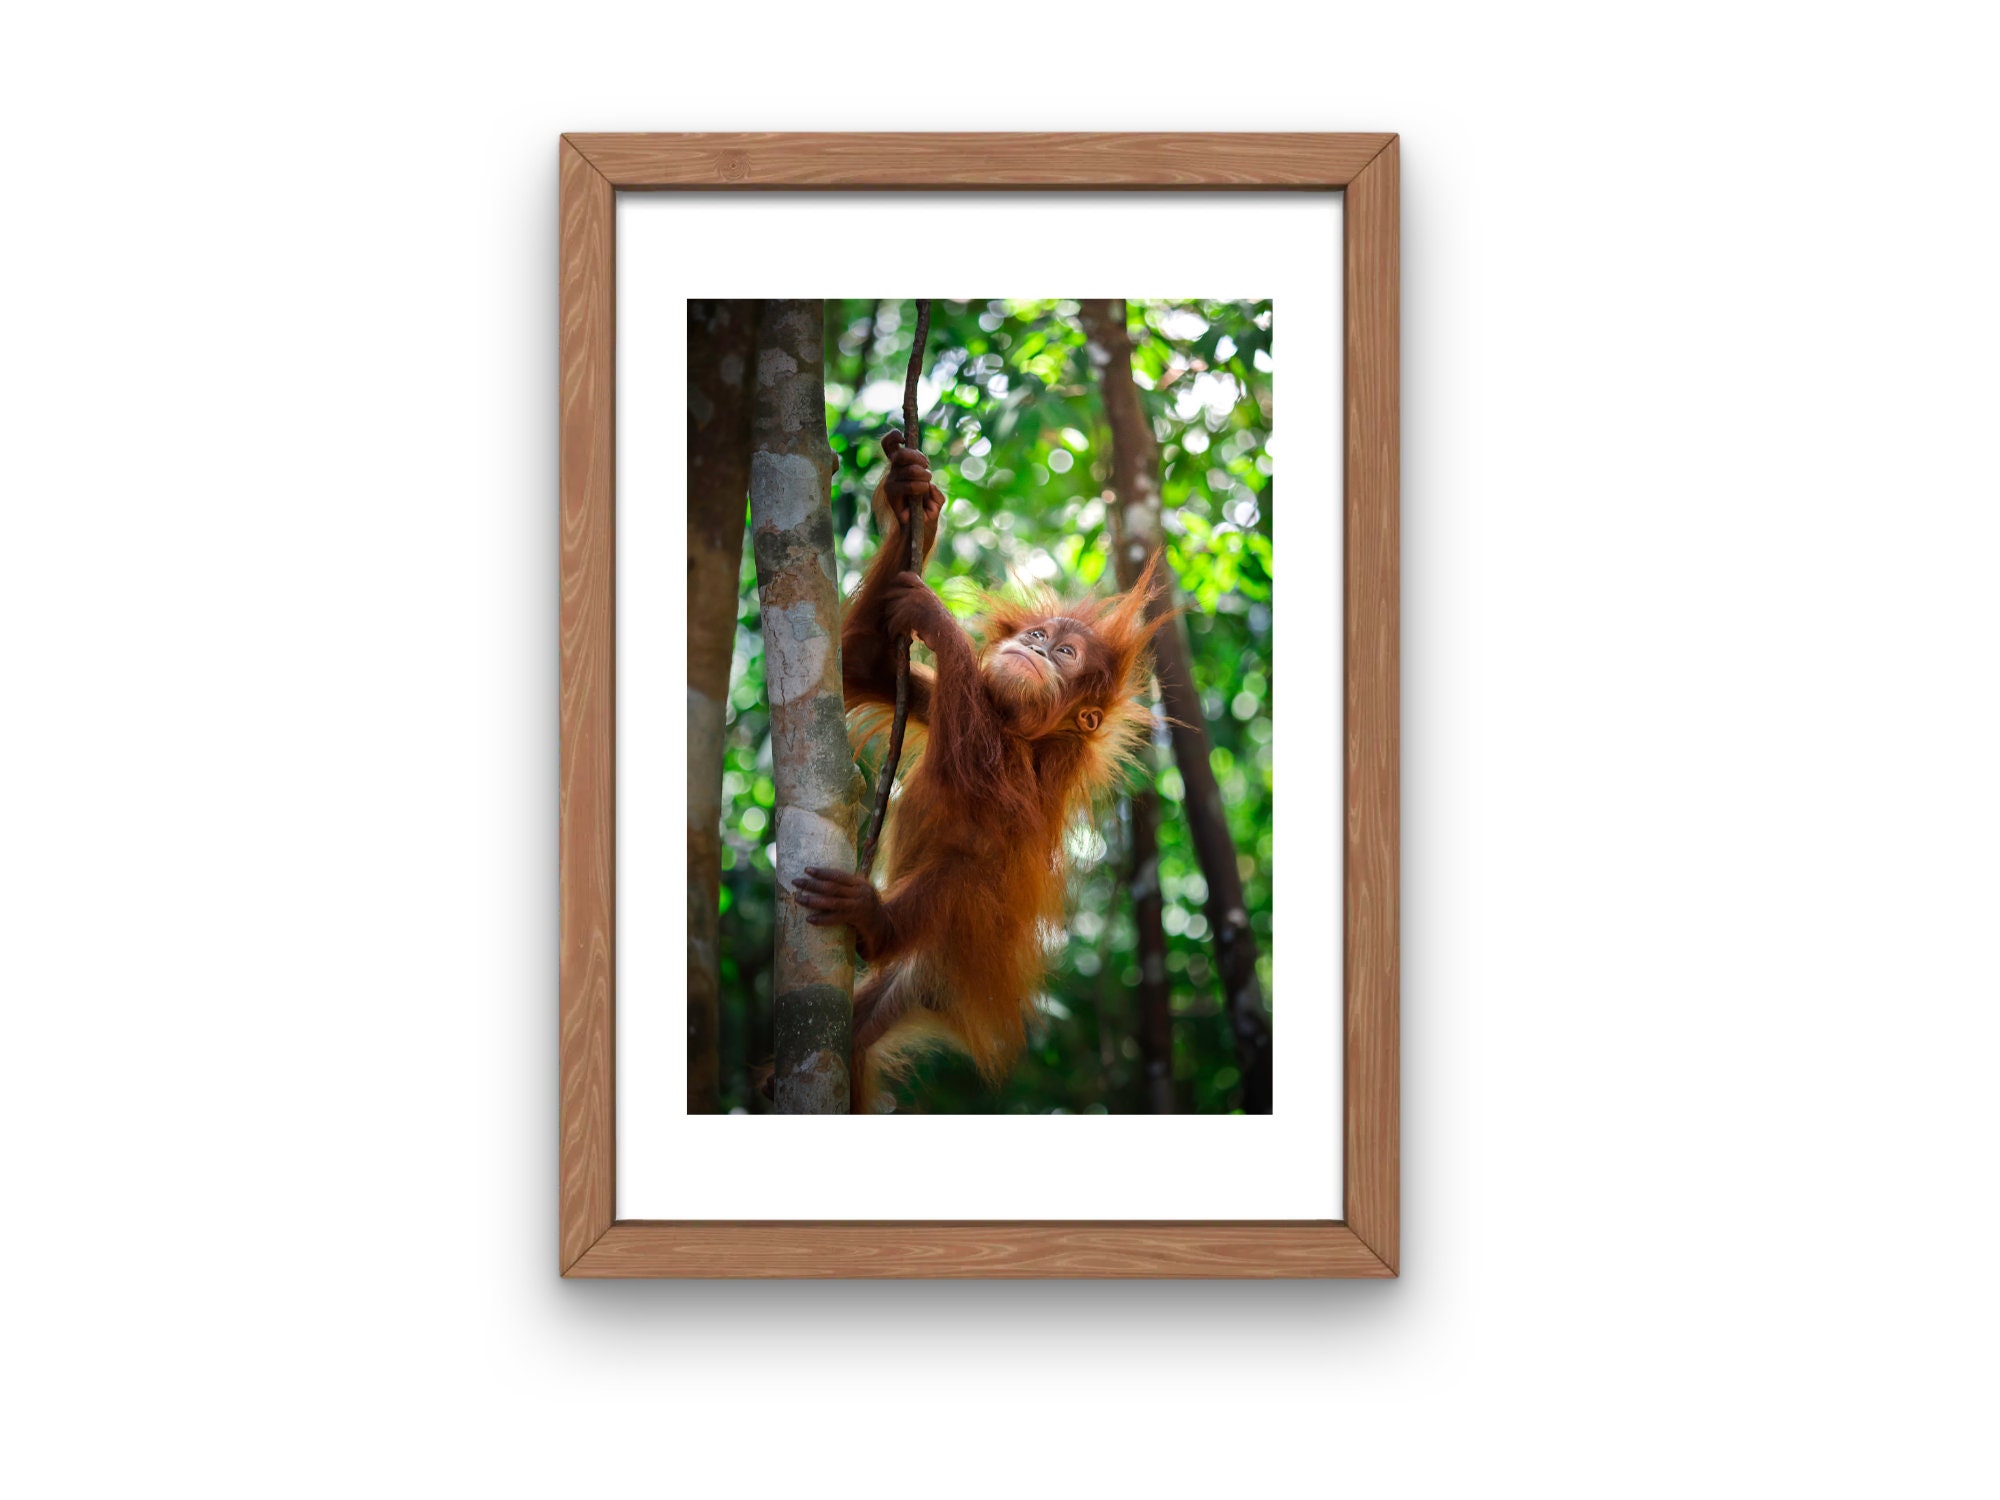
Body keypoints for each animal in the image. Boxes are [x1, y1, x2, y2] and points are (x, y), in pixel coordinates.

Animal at [791, 431, 1167, 1112]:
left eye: (1065, 652)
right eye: (1041, 635)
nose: (1037, 647)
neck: (1022, 724)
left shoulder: (1053, 760)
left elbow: (989, 785)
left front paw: (935, 614)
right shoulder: (941, 695)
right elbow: (859, 664)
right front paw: (911, 495)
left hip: (965, 940)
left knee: (968, 869)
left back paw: (874, 923)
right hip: (912, 983)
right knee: (857, 1032)